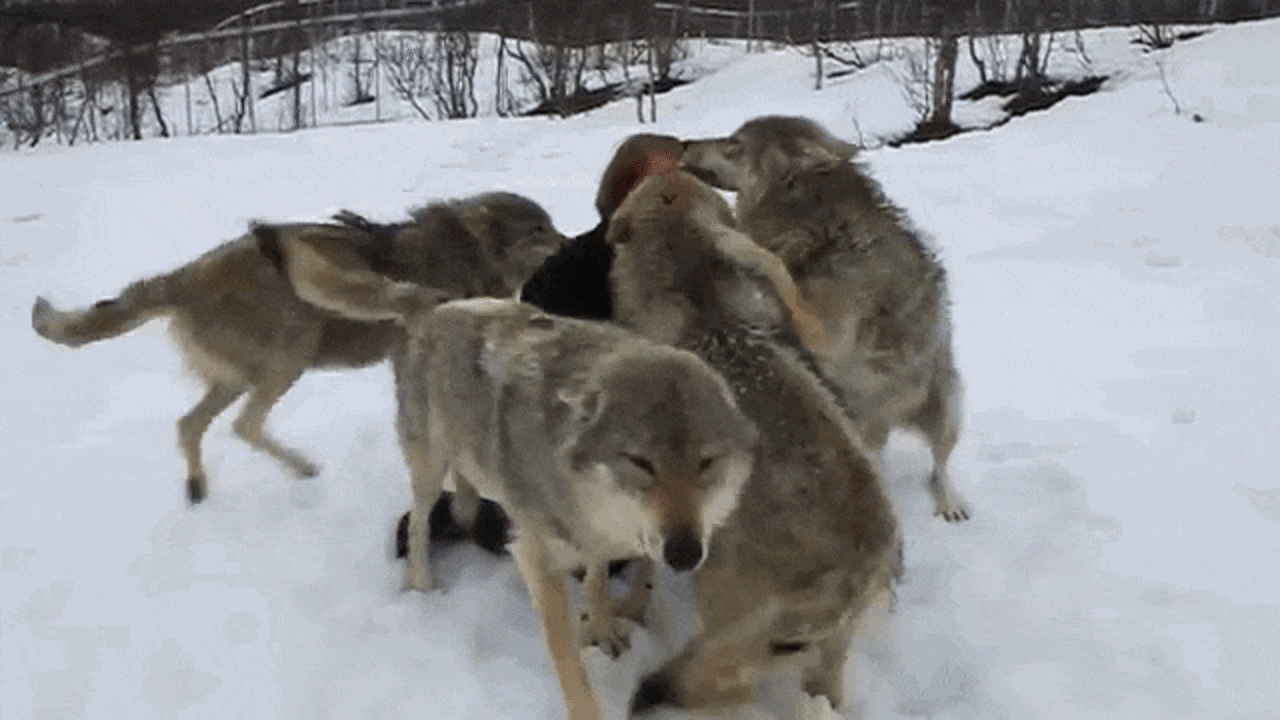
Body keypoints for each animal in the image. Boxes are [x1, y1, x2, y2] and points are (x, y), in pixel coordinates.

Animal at [32, 192, 567, 503]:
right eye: (538, 228)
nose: (570, 240)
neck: (462, 251)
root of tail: (179, 279)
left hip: (238, 377)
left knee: (189, 425)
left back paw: (199, 487)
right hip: (292, 354)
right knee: (243, 426)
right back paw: (303, 468)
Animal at [263, 230, 759, 720]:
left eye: (706, 463)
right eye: (640, 462)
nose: (684, 553)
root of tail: (435, 301)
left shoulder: (593, 540)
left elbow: (598, 581)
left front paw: (600, 626)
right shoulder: (539, 562)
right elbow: (568, 663)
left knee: (465, 488)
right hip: (428, 467)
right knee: (421, 523)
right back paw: (421, 586)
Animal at [682, 115, 970, 521]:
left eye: (734, 143)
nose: (682, 144)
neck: (819, 222)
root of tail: (887, 420)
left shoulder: (827, 335)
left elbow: (773, 265)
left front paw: (730, 239)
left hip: (949, 408)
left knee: (938, 469)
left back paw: (950, 504)